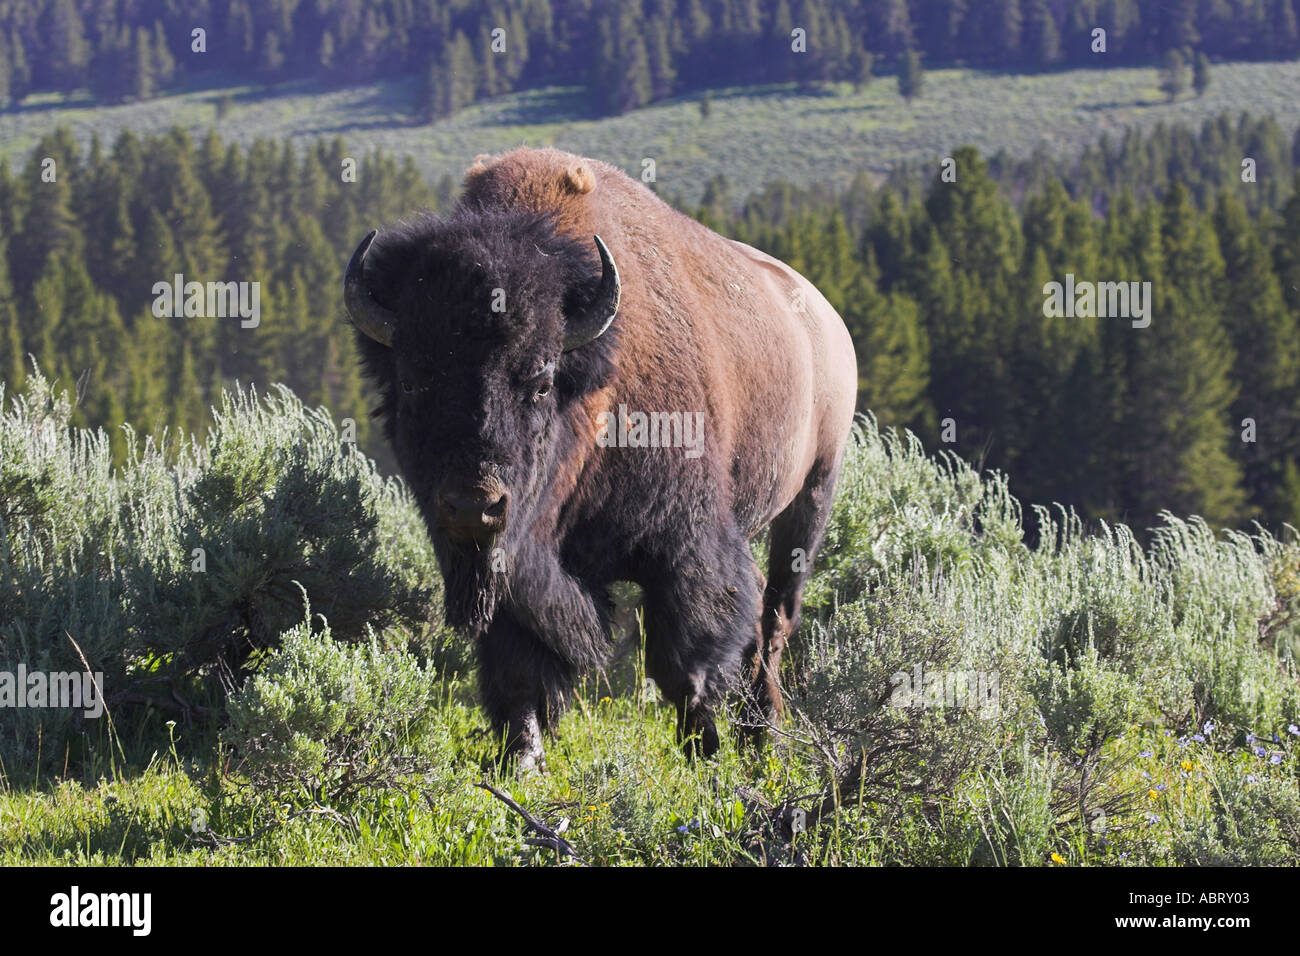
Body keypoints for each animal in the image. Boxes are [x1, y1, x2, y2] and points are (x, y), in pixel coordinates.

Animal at [345, 148, 857, 770]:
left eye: (540, 381)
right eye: (414, 382)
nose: (472, 504)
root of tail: (825, 320)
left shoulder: (685, 546)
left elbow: (686, 659)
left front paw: (704, 753)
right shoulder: (516, 561)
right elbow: (519, 667)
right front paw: (524, 760)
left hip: (812, 496)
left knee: (775, 614)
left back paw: (765, 740)